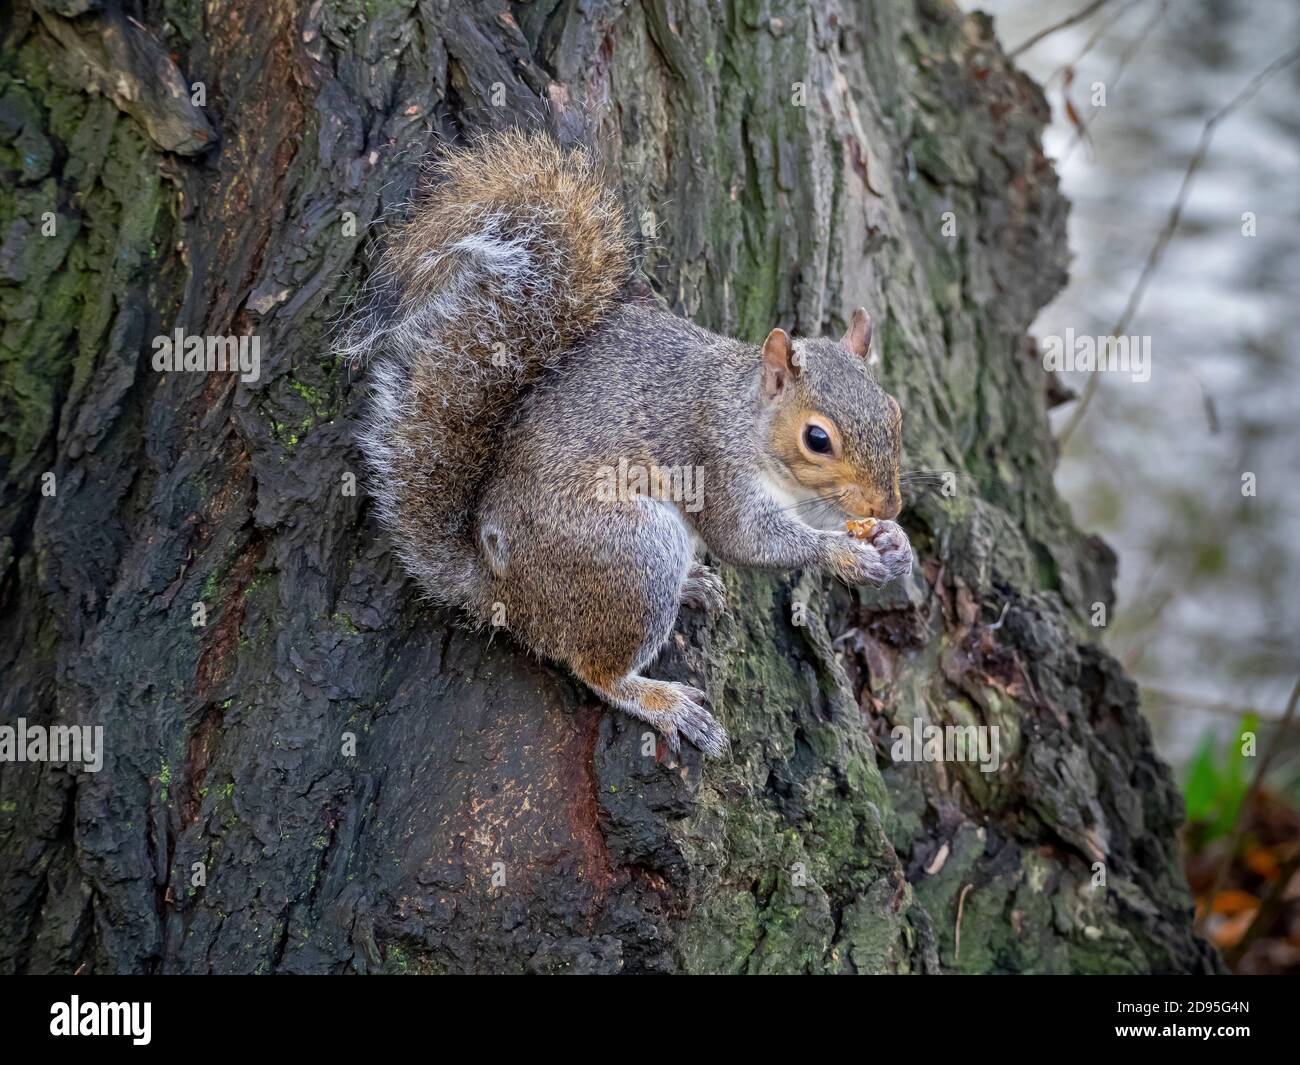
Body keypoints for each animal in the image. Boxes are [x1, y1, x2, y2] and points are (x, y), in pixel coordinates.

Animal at [344, 129, 913, 758]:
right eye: (817, 439)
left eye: (894, 412)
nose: (888, 505)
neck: (746, 417)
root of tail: (500, 589)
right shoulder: (714, 463)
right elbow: (747, 539)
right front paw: (846, 555)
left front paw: (893, 543)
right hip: (634, 552)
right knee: (595, 670)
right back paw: (660, 700)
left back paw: (694, 586)